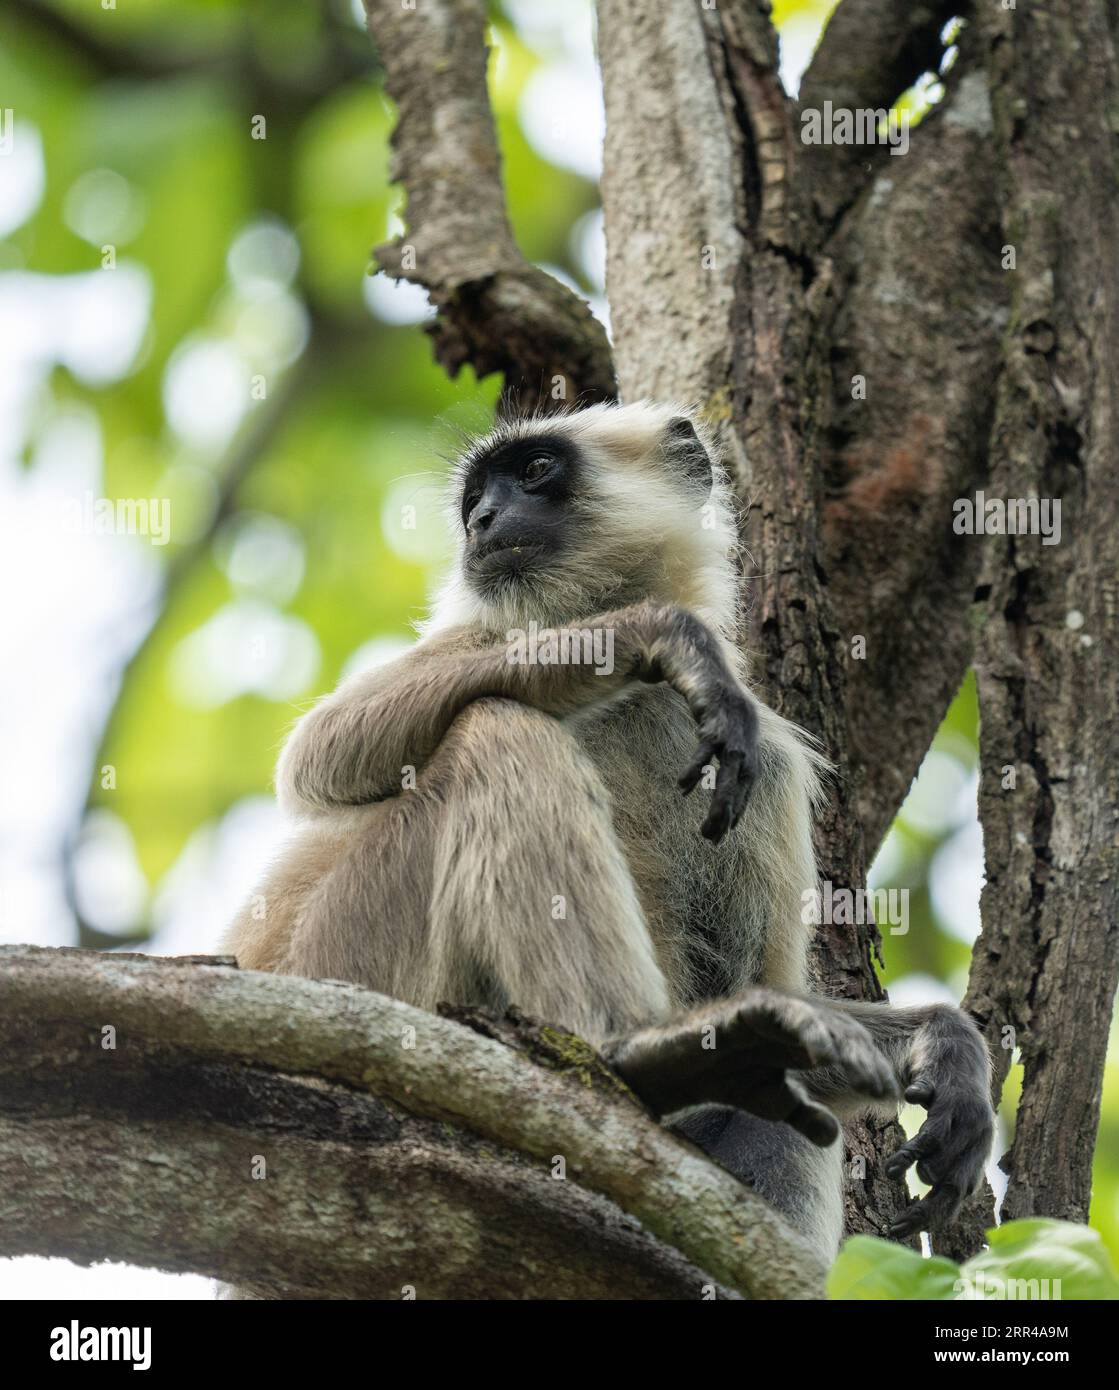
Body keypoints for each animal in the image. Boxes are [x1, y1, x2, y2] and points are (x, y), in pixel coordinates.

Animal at [228, 400, 994, 1263]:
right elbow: (318, 753)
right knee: (495, 725)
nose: (483, 521)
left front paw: (945, 1047)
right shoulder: (485, 638)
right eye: (473, 502)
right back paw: (633, 1054)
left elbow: (761, 991)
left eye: (533, 472)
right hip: (353, 961)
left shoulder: (766, 762)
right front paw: (657, 635)